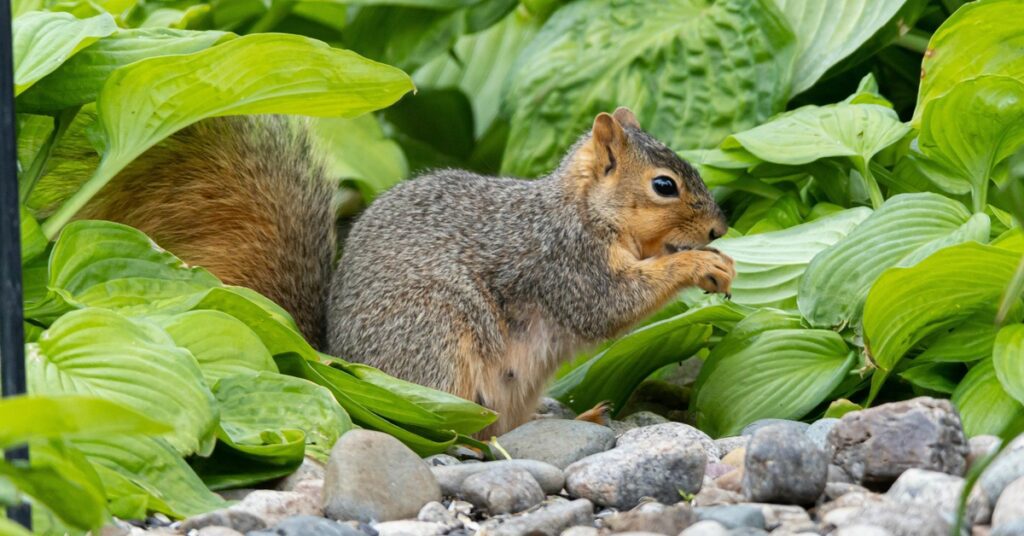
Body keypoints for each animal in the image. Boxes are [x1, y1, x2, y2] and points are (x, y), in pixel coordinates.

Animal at [80, 107, 735, 435]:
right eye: (664, 186)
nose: (719, 229)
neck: (585, 211)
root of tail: (333, 365)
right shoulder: (561, 263)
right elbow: (607, 306)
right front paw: (699, 264)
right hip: (435, 335)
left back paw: (589, 415)